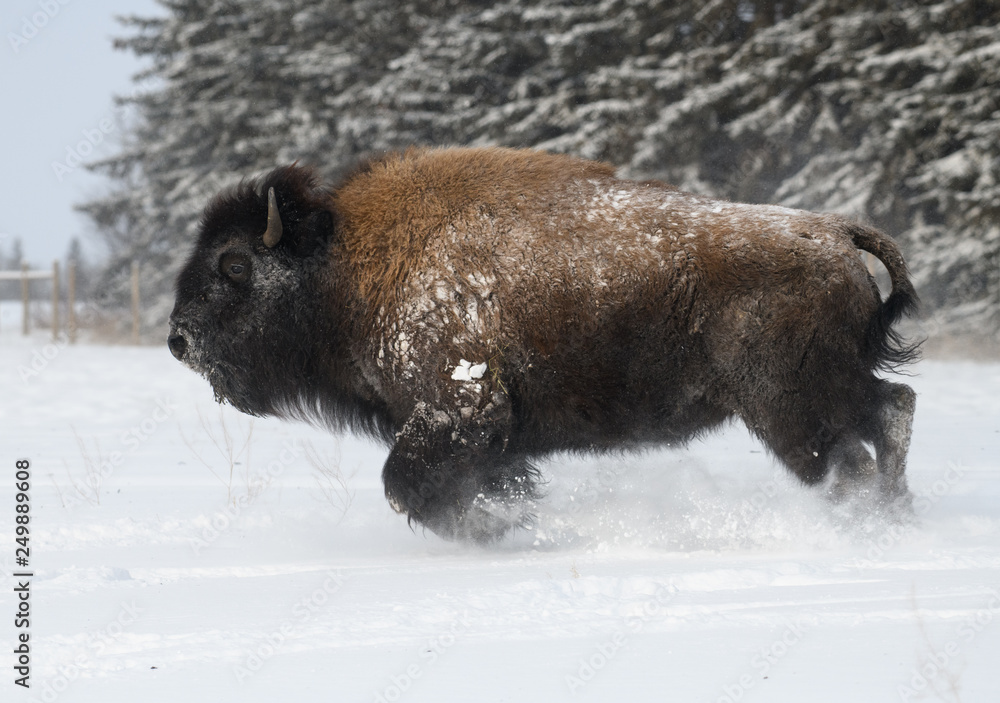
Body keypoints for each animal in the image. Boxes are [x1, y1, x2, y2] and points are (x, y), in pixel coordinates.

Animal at [168, 147, 918, 542]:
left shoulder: (457, 407)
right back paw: (894, 513)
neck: (343, 262)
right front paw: (513, 521)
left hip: (788, 404)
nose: (178, 339)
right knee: (892, 411)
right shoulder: (484, 432)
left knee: (854, 450)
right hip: (832, 388)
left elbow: (406, 486)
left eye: (233, 266)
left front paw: (497, 531)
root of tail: (835, 233)